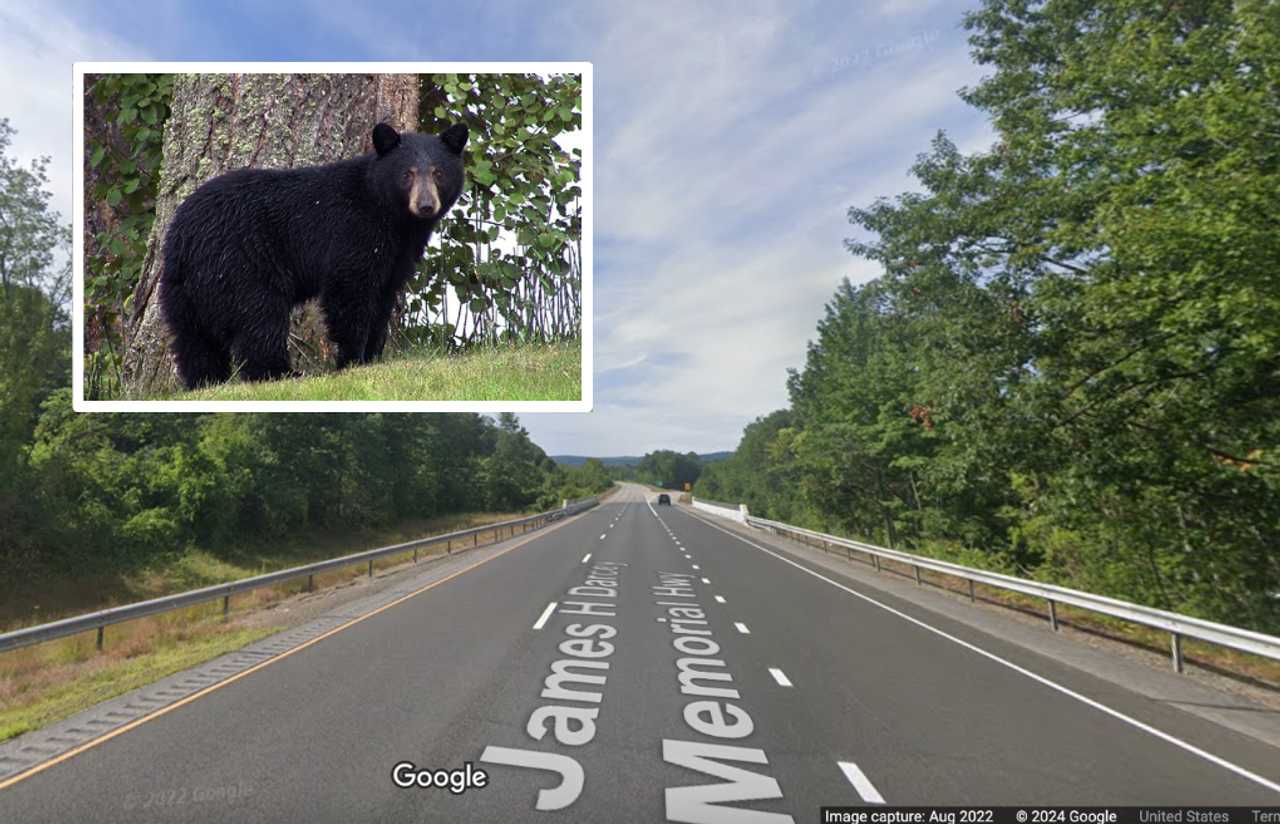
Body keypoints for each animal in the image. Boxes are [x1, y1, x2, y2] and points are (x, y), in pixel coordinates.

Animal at [158, 122, 468, 389]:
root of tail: (183, 238)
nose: (426, 205)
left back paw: (206, 380)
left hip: (183, 288)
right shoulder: (354, 231)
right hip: (240, 264)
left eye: (438, 173)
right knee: (259, 317)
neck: (393, 217)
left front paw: (373, 356)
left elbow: (383, 297)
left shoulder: (398, 253)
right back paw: (280, 372)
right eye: (407, 174)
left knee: (193, 339)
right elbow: (350, 291)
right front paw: (352, 360)